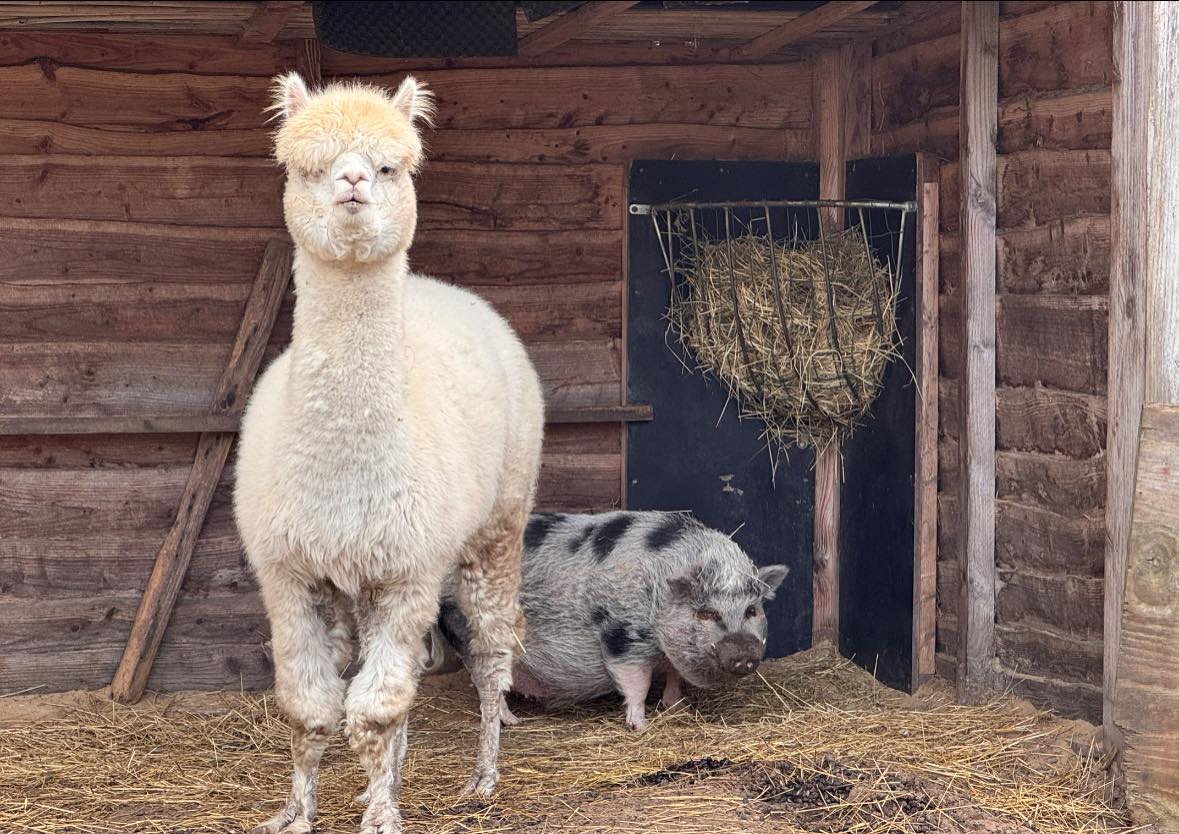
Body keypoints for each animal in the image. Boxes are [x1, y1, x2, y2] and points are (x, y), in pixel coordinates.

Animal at [437, 510, 788, 731]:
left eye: (752, 610)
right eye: (707, 613)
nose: (743, 653)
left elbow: (673, 675)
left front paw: (676, 707)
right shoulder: (622, 635)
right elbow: (636, 684)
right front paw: (641, 726)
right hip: (472, 635)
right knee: (487, 686)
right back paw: (512, 723)